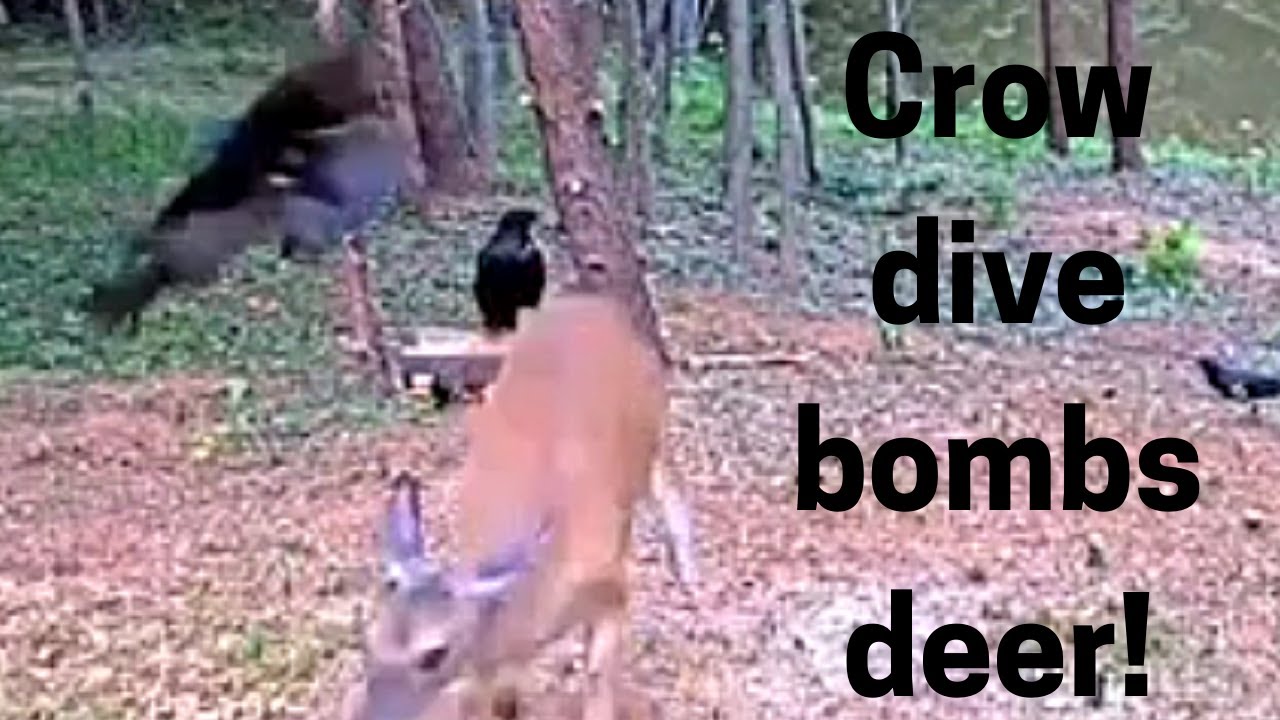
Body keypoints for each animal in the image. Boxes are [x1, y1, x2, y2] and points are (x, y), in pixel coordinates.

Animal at [338, 292, 697, 720]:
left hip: (653, 422)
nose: (366, 714)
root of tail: (590, 301)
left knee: (663, 479)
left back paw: (689, 574)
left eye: (435, 654)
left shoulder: (614, 590)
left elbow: (597, 678)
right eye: (367, 636)